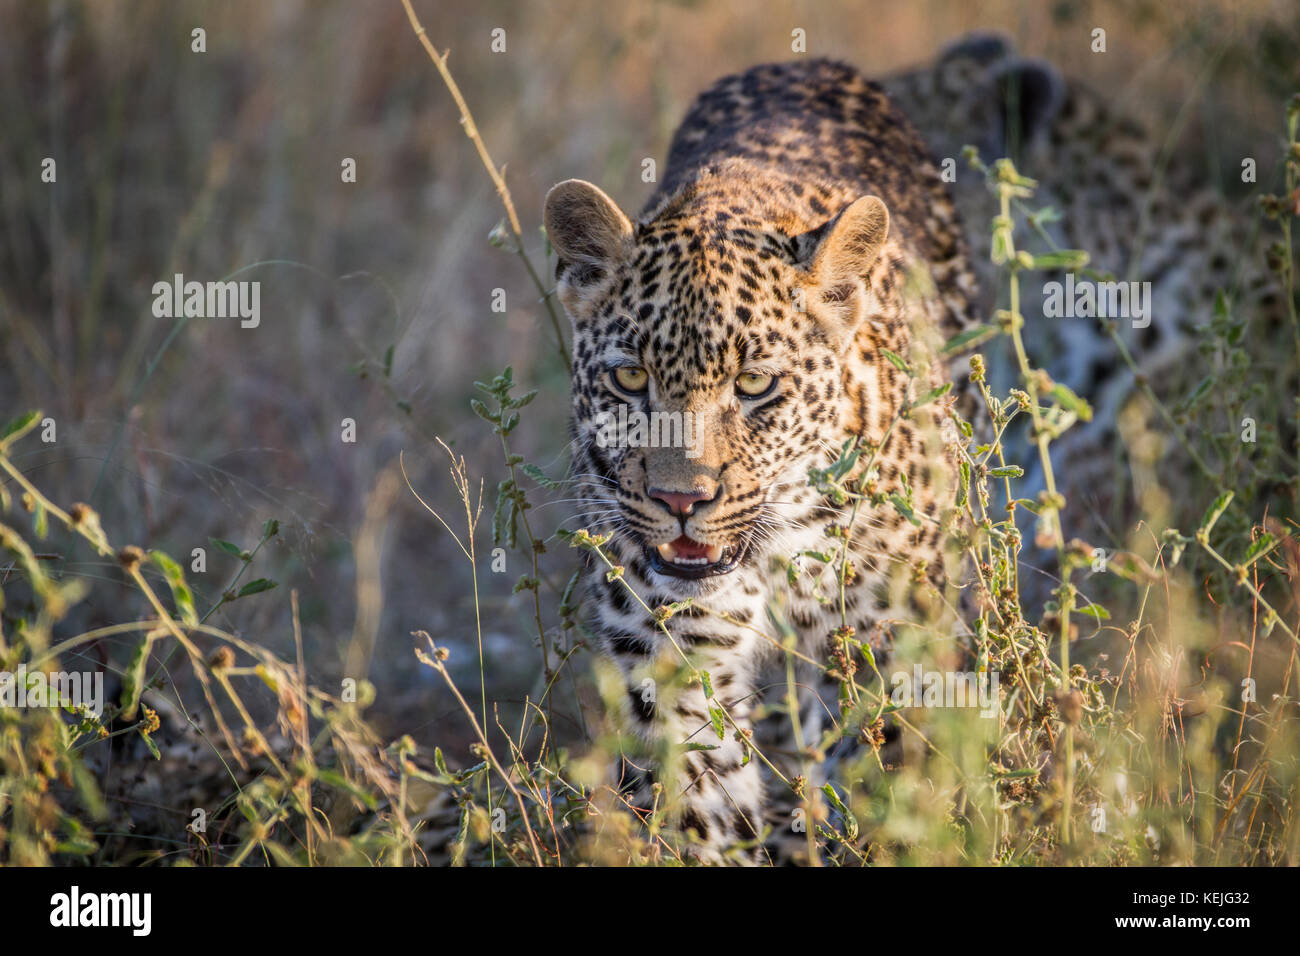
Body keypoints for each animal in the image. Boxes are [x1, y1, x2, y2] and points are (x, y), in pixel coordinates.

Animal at [543, 57, 982, 865]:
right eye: (630, 379)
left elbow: (888, 783)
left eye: (753, 386)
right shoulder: (674, 656)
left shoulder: (895, 643)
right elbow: (695, 795)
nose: (683, 501)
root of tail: (805, 62)